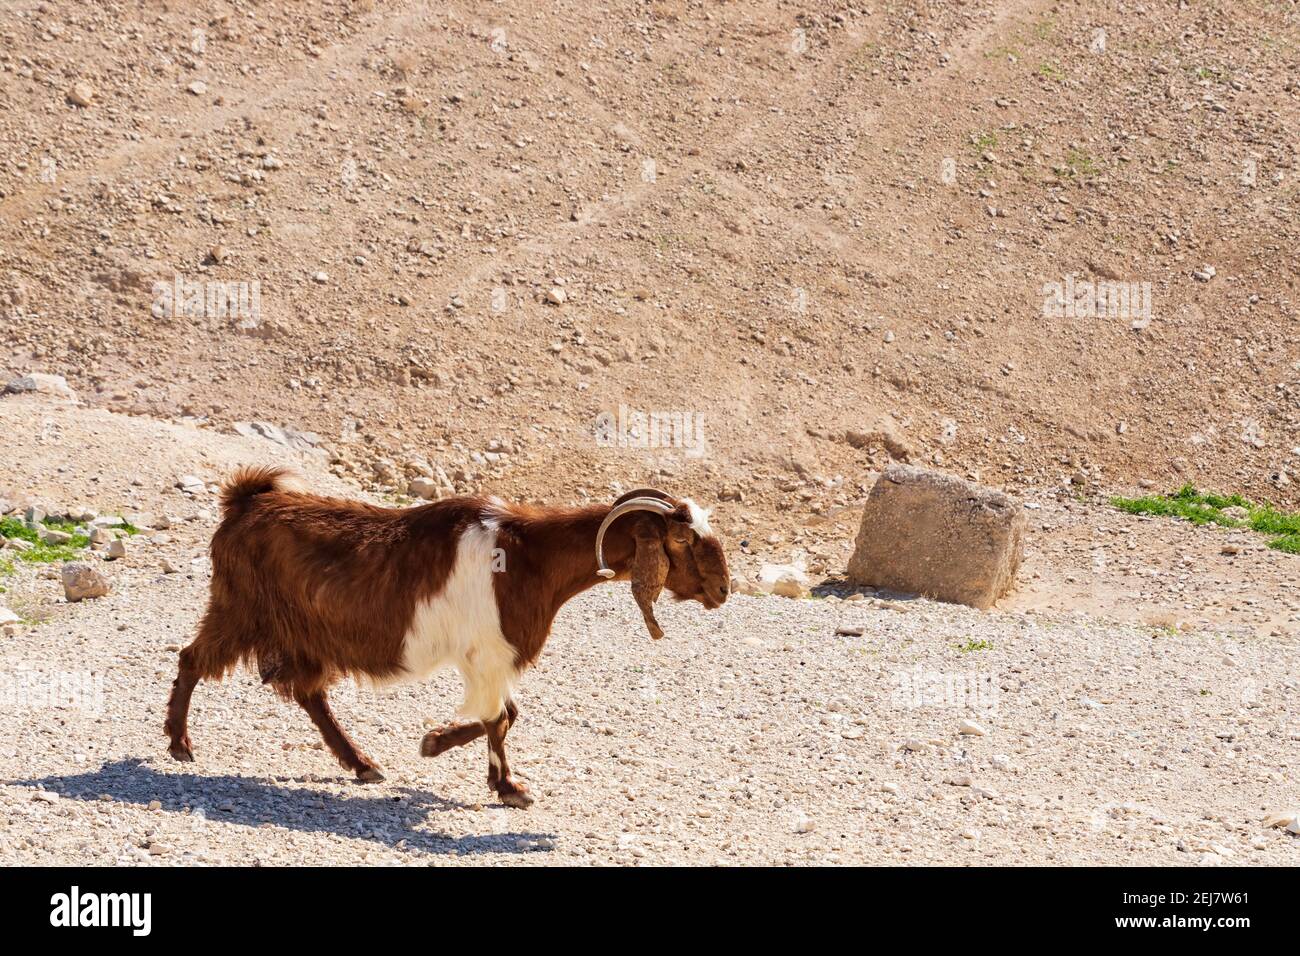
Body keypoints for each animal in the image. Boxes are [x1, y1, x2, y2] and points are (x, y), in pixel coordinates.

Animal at [164, 467, 729, 808]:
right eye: (682, 540)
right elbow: (500, 719)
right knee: (192, 659)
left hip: (298, 633)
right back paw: (179, 744)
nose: (724, 590)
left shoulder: (491, 660)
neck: (531, 556)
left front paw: (436, 742)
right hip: (240, 609)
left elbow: (506, 714)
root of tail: (244, 502)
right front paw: (508, 787)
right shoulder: (488, 655)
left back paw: (363, 764)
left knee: (308, 694)